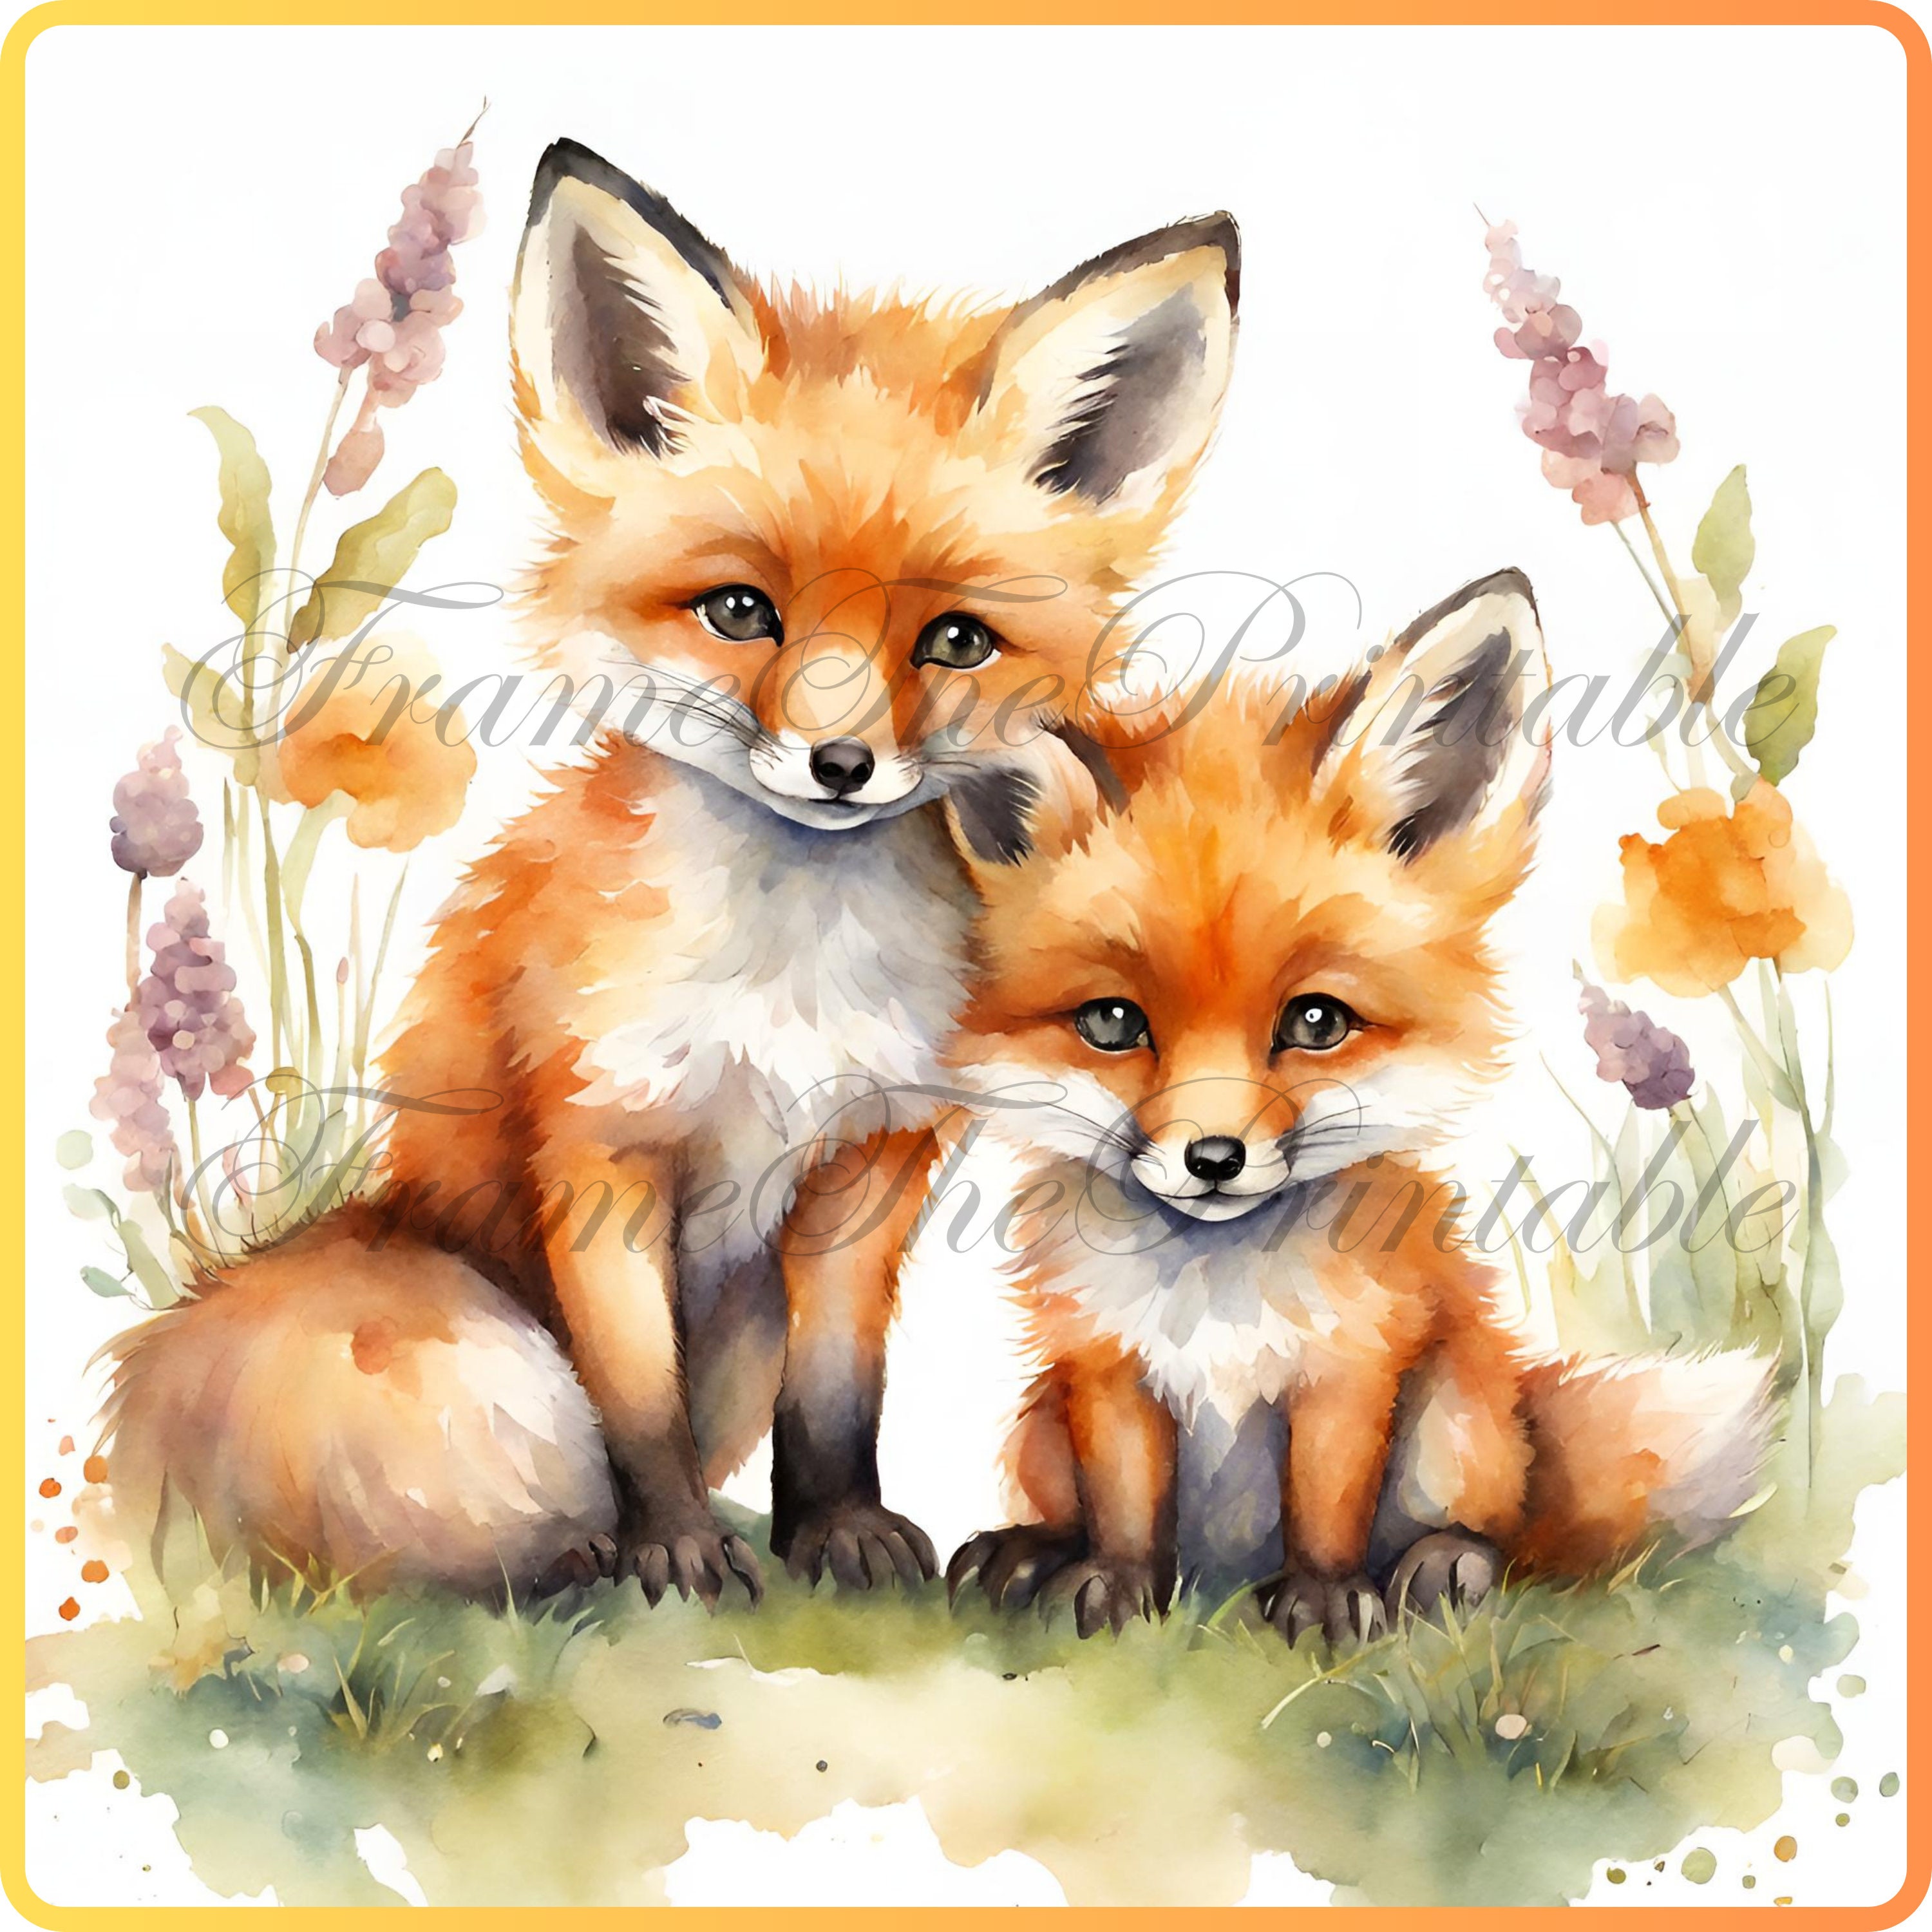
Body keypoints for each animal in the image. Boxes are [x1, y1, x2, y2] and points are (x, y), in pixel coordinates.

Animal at [102, 140, 1242, 1605]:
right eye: (741, 610)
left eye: (954, 640)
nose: (839, 765)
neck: (791, 988)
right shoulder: (602, 1148)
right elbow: (635, 1397)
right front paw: (675, 1553)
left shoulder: (866, 1162)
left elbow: (838, 1394)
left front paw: (835, 1532)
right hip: (475, 1344)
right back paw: (571, 1552)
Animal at [942, 569, 1778, 1641]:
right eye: (1114, 1022)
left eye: (1316, 1020)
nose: (1213, 1159)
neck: (1218, 1300)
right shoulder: (1102, 1366)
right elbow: (1125, 1497)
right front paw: (1115, 1585)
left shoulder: (1354, 1364)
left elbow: (1329, 1498)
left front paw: (1326, 1598)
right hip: (1037, 1425)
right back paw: (1026, 1554)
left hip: (1457, 1421)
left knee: (1495, 1530)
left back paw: (1443, 1566)